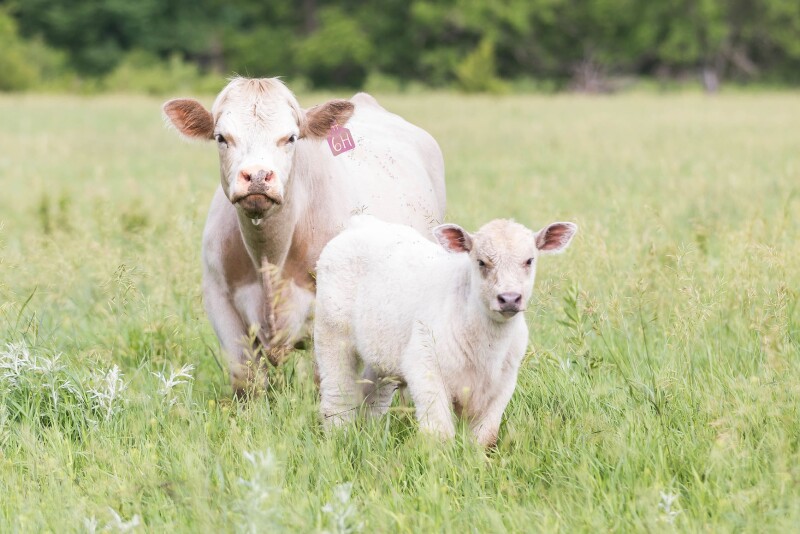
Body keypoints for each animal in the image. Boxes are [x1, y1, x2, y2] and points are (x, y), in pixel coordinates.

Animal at [162, 78, 445, 393]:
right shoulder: (220, 301)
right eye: (222, 138)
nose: (258, 176)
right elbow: (246, 380)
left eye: (291, 138)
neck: (269, 257)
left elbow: (326, 382)